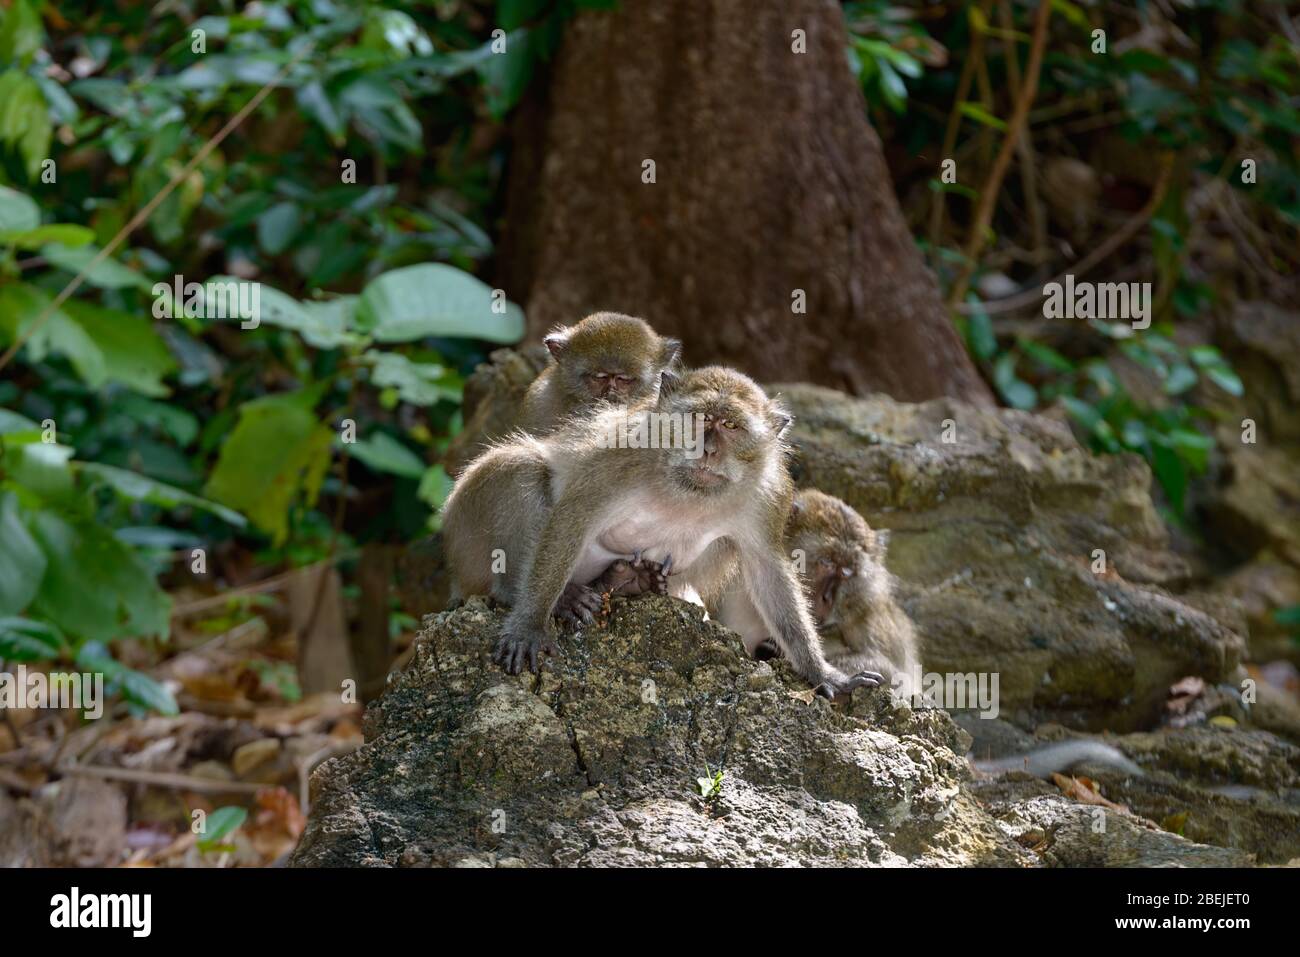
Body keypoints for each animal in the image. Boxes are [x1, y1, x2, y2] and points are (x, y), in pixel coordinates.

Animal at [440, 366, 883, 698]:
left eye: (731, 425)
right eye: (700, 418)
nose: (708, 450)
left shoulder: (768, 495)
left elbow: (767, 568)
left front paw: (823, 673)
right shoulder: (621, 454)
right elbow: (573, 515)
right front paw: (529, 624)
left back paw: (624, 580)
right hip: (466, 532)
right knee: (522, 469)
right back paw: (547, 595)